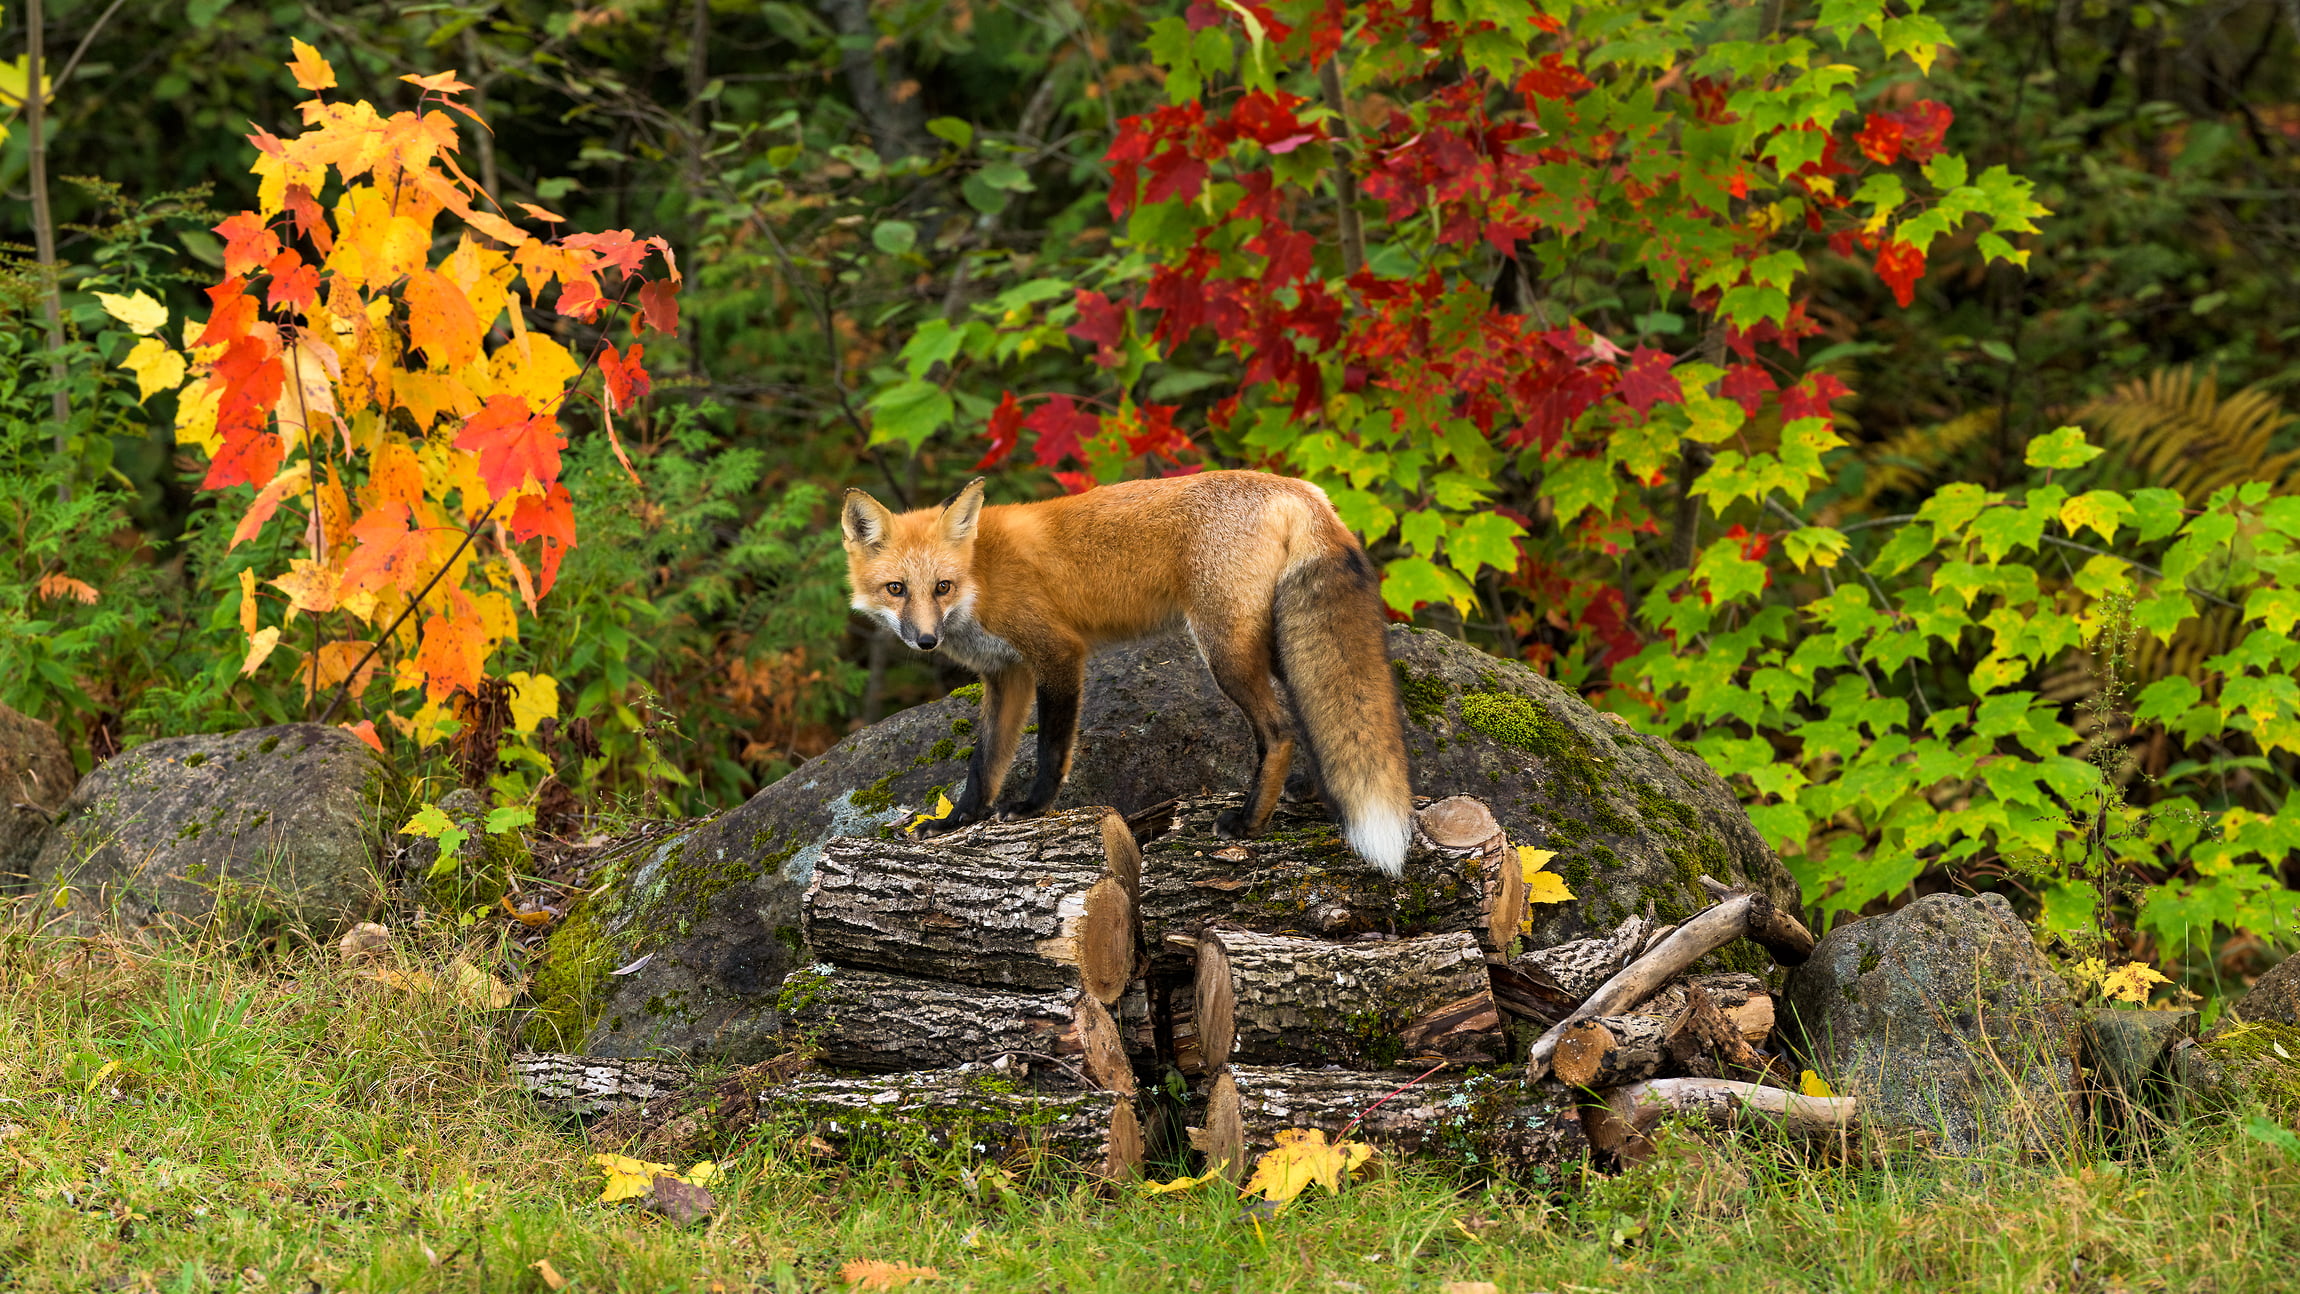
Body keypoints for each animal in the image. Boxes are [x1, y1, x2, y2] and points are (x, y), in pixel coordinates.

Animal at [840, 470, 1416, 876]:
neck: (980, 574)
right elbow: (984, 763)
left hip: (1226, 650)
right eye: (896, 589)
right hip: (1277, 642)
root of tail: (1300, 488)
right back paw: (1313, 795)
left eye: (942, 587)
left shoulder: (1057, 653)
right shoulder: (1006, 675)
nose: (926, 640)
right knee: (1321, 713)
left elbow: (1051, 749)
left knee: (1279, 731)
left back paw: (1250, 822)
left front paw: (1030, 809)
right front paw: (956, 821)